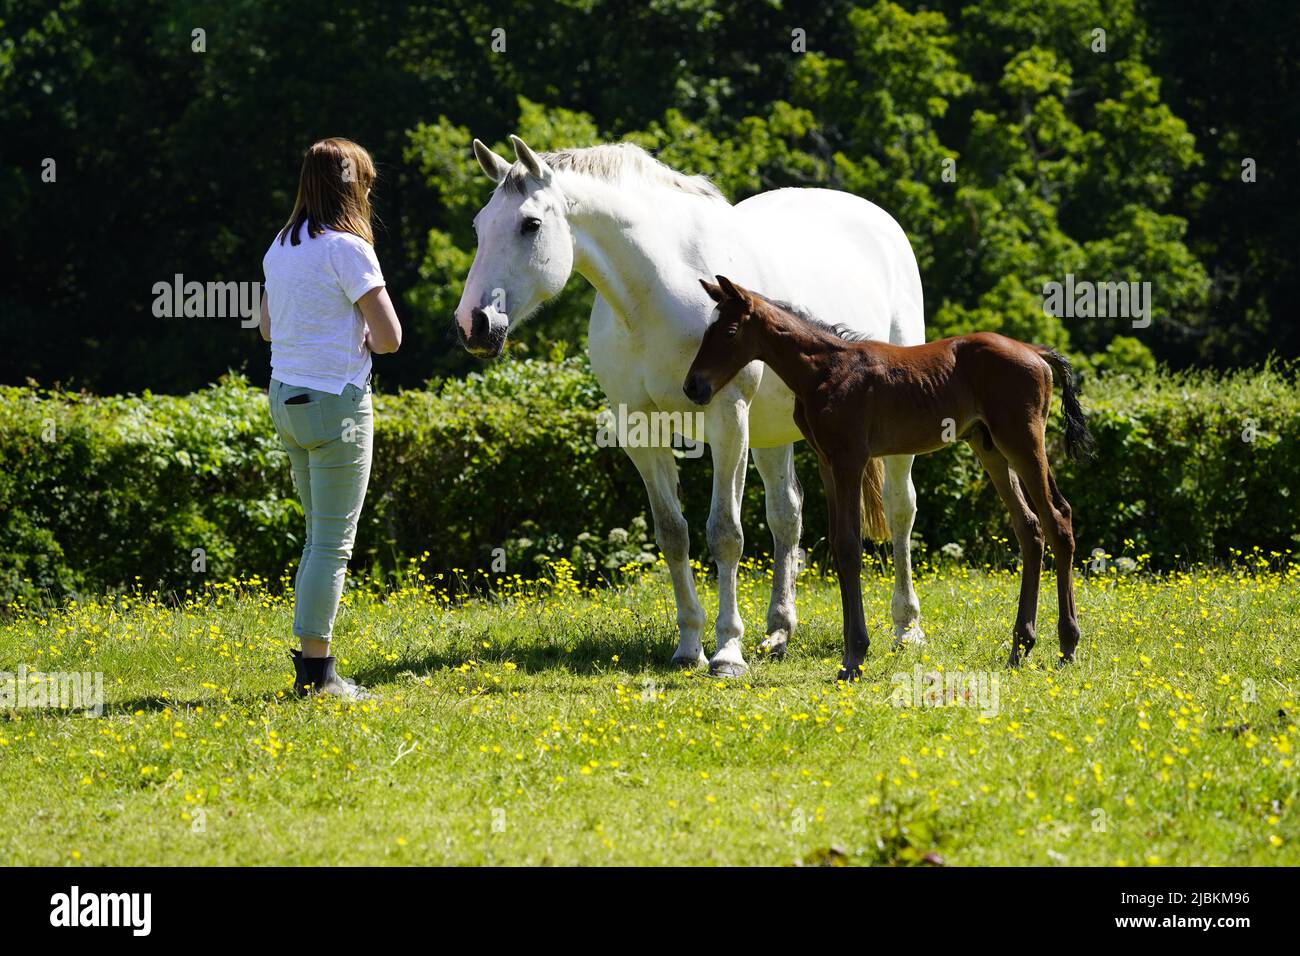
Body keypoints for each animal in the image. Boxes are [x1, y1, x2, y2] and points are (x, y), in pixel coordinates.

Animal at [454, 136, 927, 677]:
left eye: (530, 224)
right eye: (478, 226)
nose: (473, 324)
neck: (657, 292)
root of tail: (877, 219)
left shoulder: (727, 422)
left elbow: (725, 534)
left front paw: (726, 652)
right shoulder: (639, 430)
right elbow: (673, 533)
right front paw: (688, 646)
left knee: (900, 508)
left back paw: (907, 627)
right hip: (771, 433)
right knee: (787, 515)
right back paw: (778, 633)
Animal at [684, 275, 1093, 681]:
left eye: (730, 331)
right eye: (707, 331)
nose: (693, 386)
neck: (824, 370)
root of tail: (1036, 351)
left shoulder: (850, 459)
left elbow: (850, 546)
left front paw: (854, 656)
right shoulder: (826, 463)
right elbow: (839, 546)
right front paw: (851, 653)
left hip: (1022, 441)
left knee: (1057, 519)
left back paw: (1068, 645)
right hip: (990, 446)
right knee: (1030, 527)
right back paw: (1020, 647)